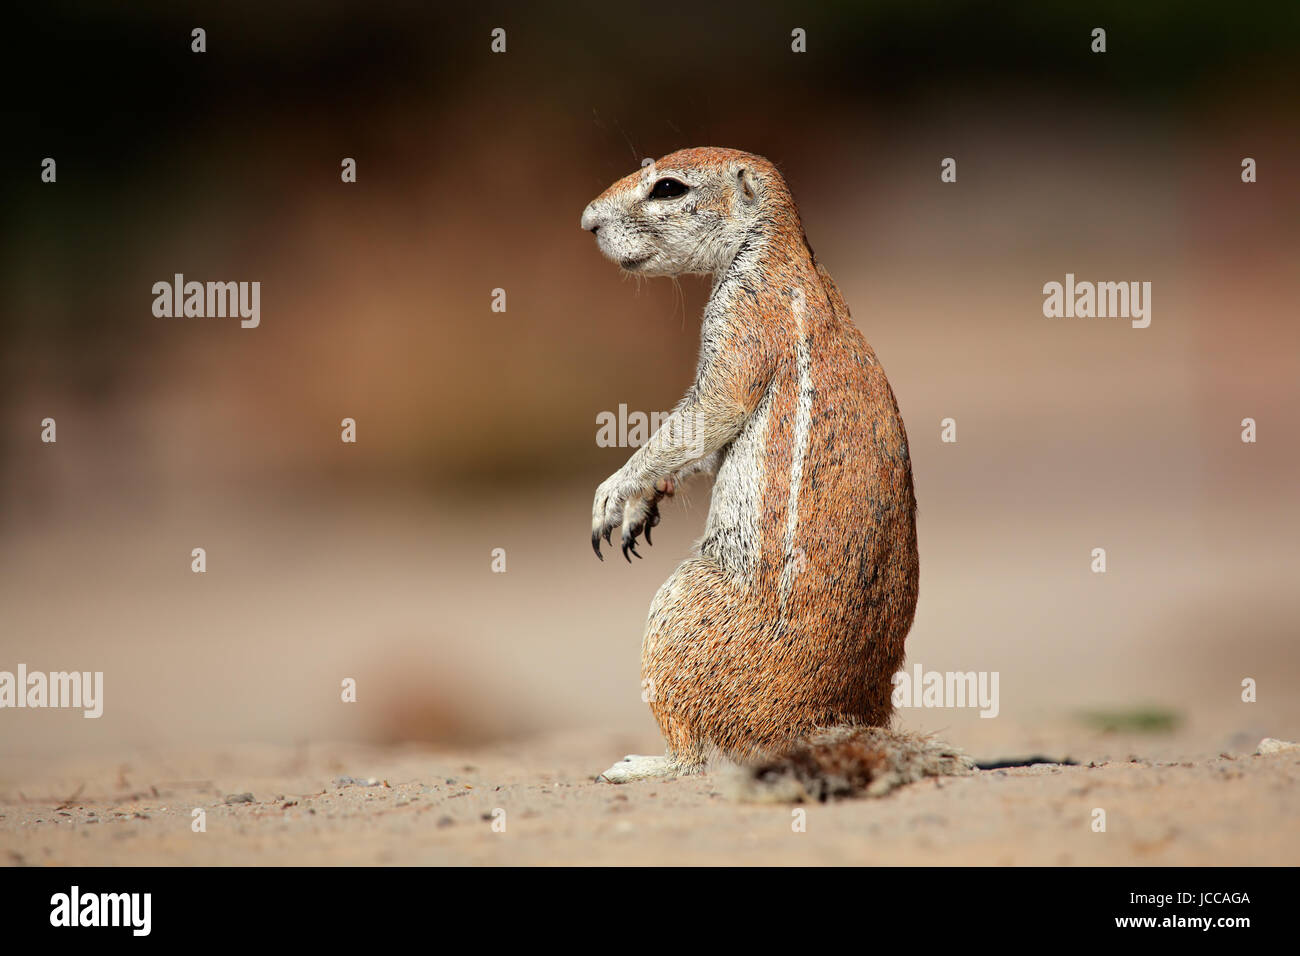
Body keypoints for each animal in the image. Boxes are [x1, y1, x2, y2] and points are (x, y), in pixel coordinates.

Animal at [581, 148, 971, 800]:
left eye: (668, 188)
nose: (586, 222)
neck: (774, 251)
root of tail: (827, 723)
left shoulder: (742, 323)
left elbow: (706, 413)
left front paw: (613, 493)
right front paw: (640, 506)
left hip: (681, 609)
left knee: (698, 756)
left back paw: (639, 764)